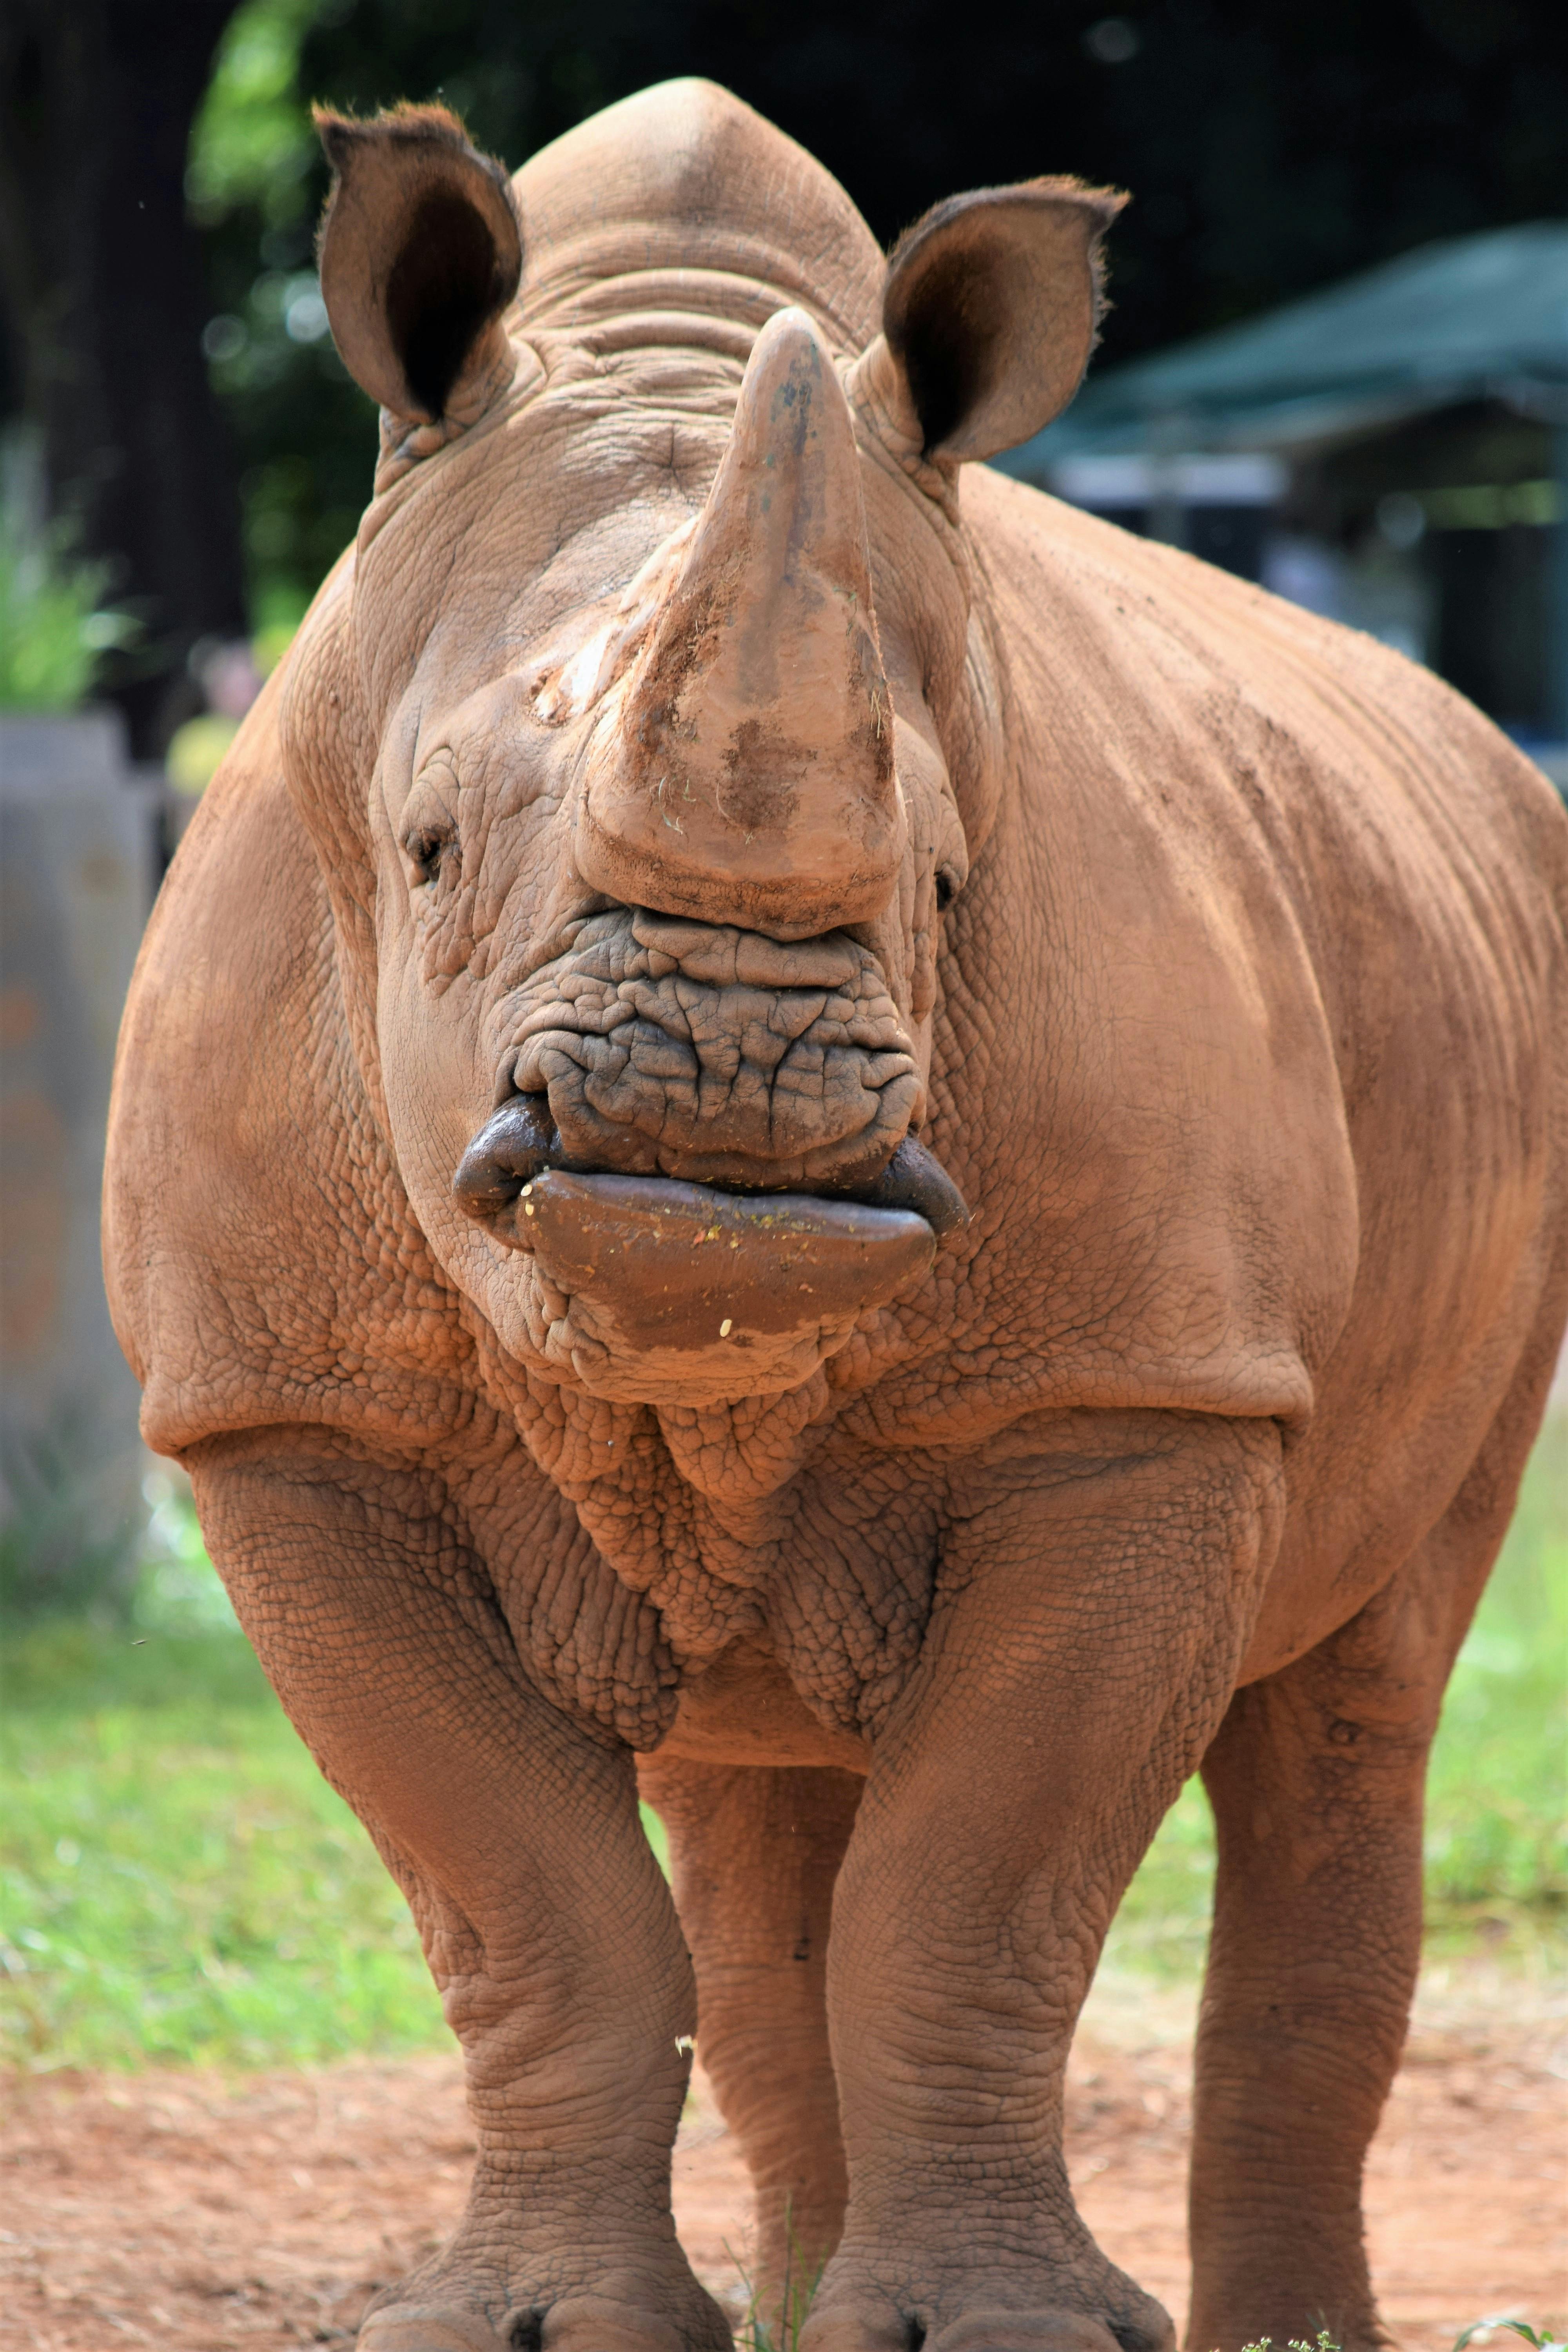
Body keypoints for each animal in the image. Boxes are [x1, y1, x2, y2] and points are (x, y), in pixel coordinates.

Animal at [105, 77, 1567, 2352]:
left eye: (946, 890)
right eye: (422, 853)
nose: (724, 1089)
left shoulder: (1135, 1391)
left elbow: (974, 1890)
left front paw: (1004, 2331)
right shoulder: (285, 1407)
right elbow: (523, 1900)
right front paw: (534, 2327)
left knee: (1356, 1699)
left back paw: (1274, 2331)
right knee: (748, 1778)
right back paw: (796, 2305)